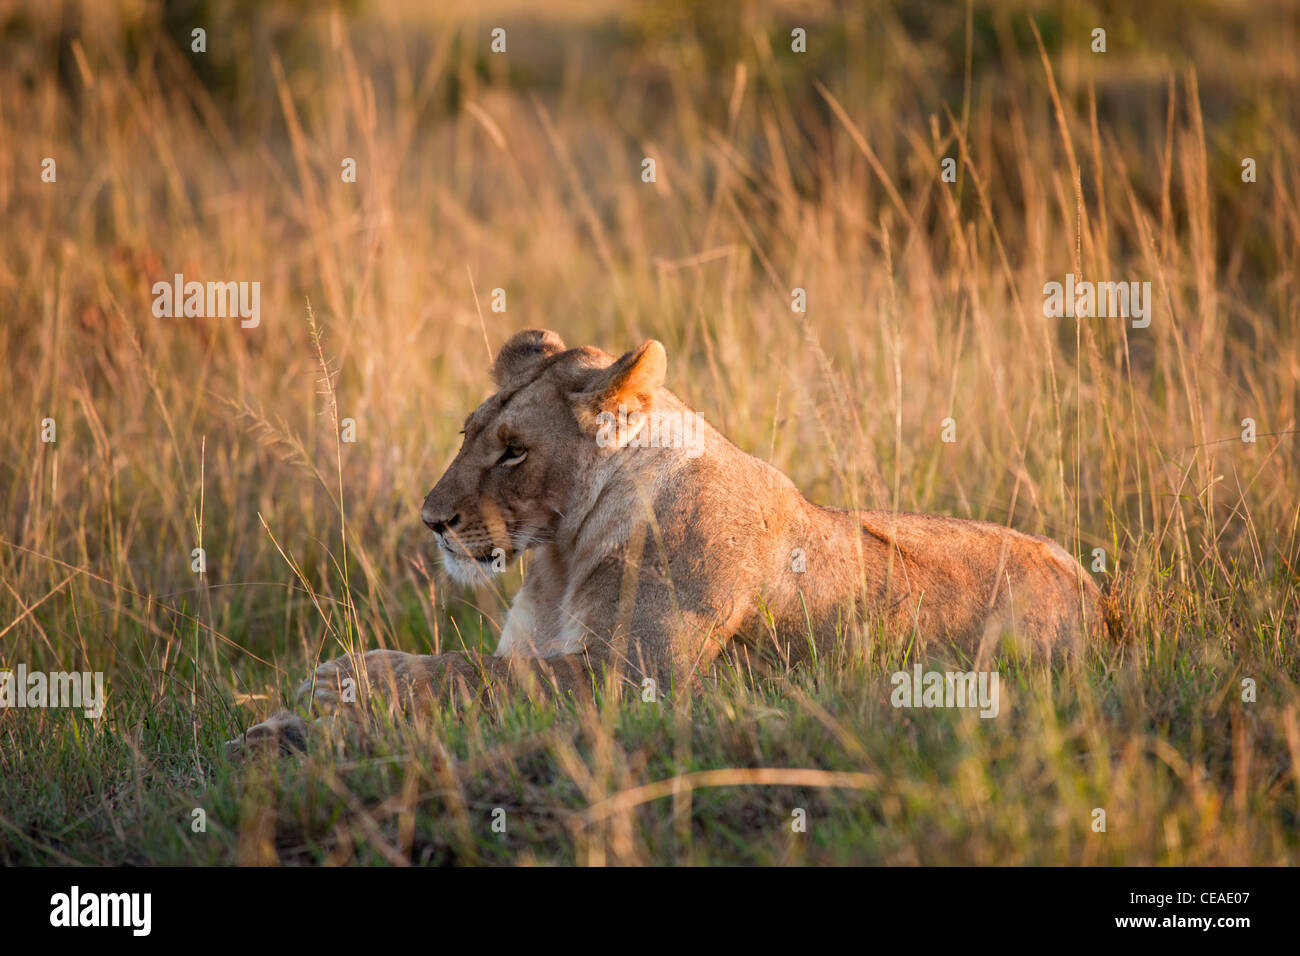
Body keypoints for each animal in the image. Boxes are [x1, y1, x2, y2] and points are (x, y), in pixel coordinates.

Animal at [237, 328, 1105, 751]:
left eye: (514, 451)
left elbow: (474, 673)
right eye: (470, 434)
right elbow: (487, 667)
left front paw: (345, 680)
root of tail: (1105, 593)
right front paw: (275, 726)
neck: (560, 555)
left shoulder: (634, 679)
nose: (431, 521)